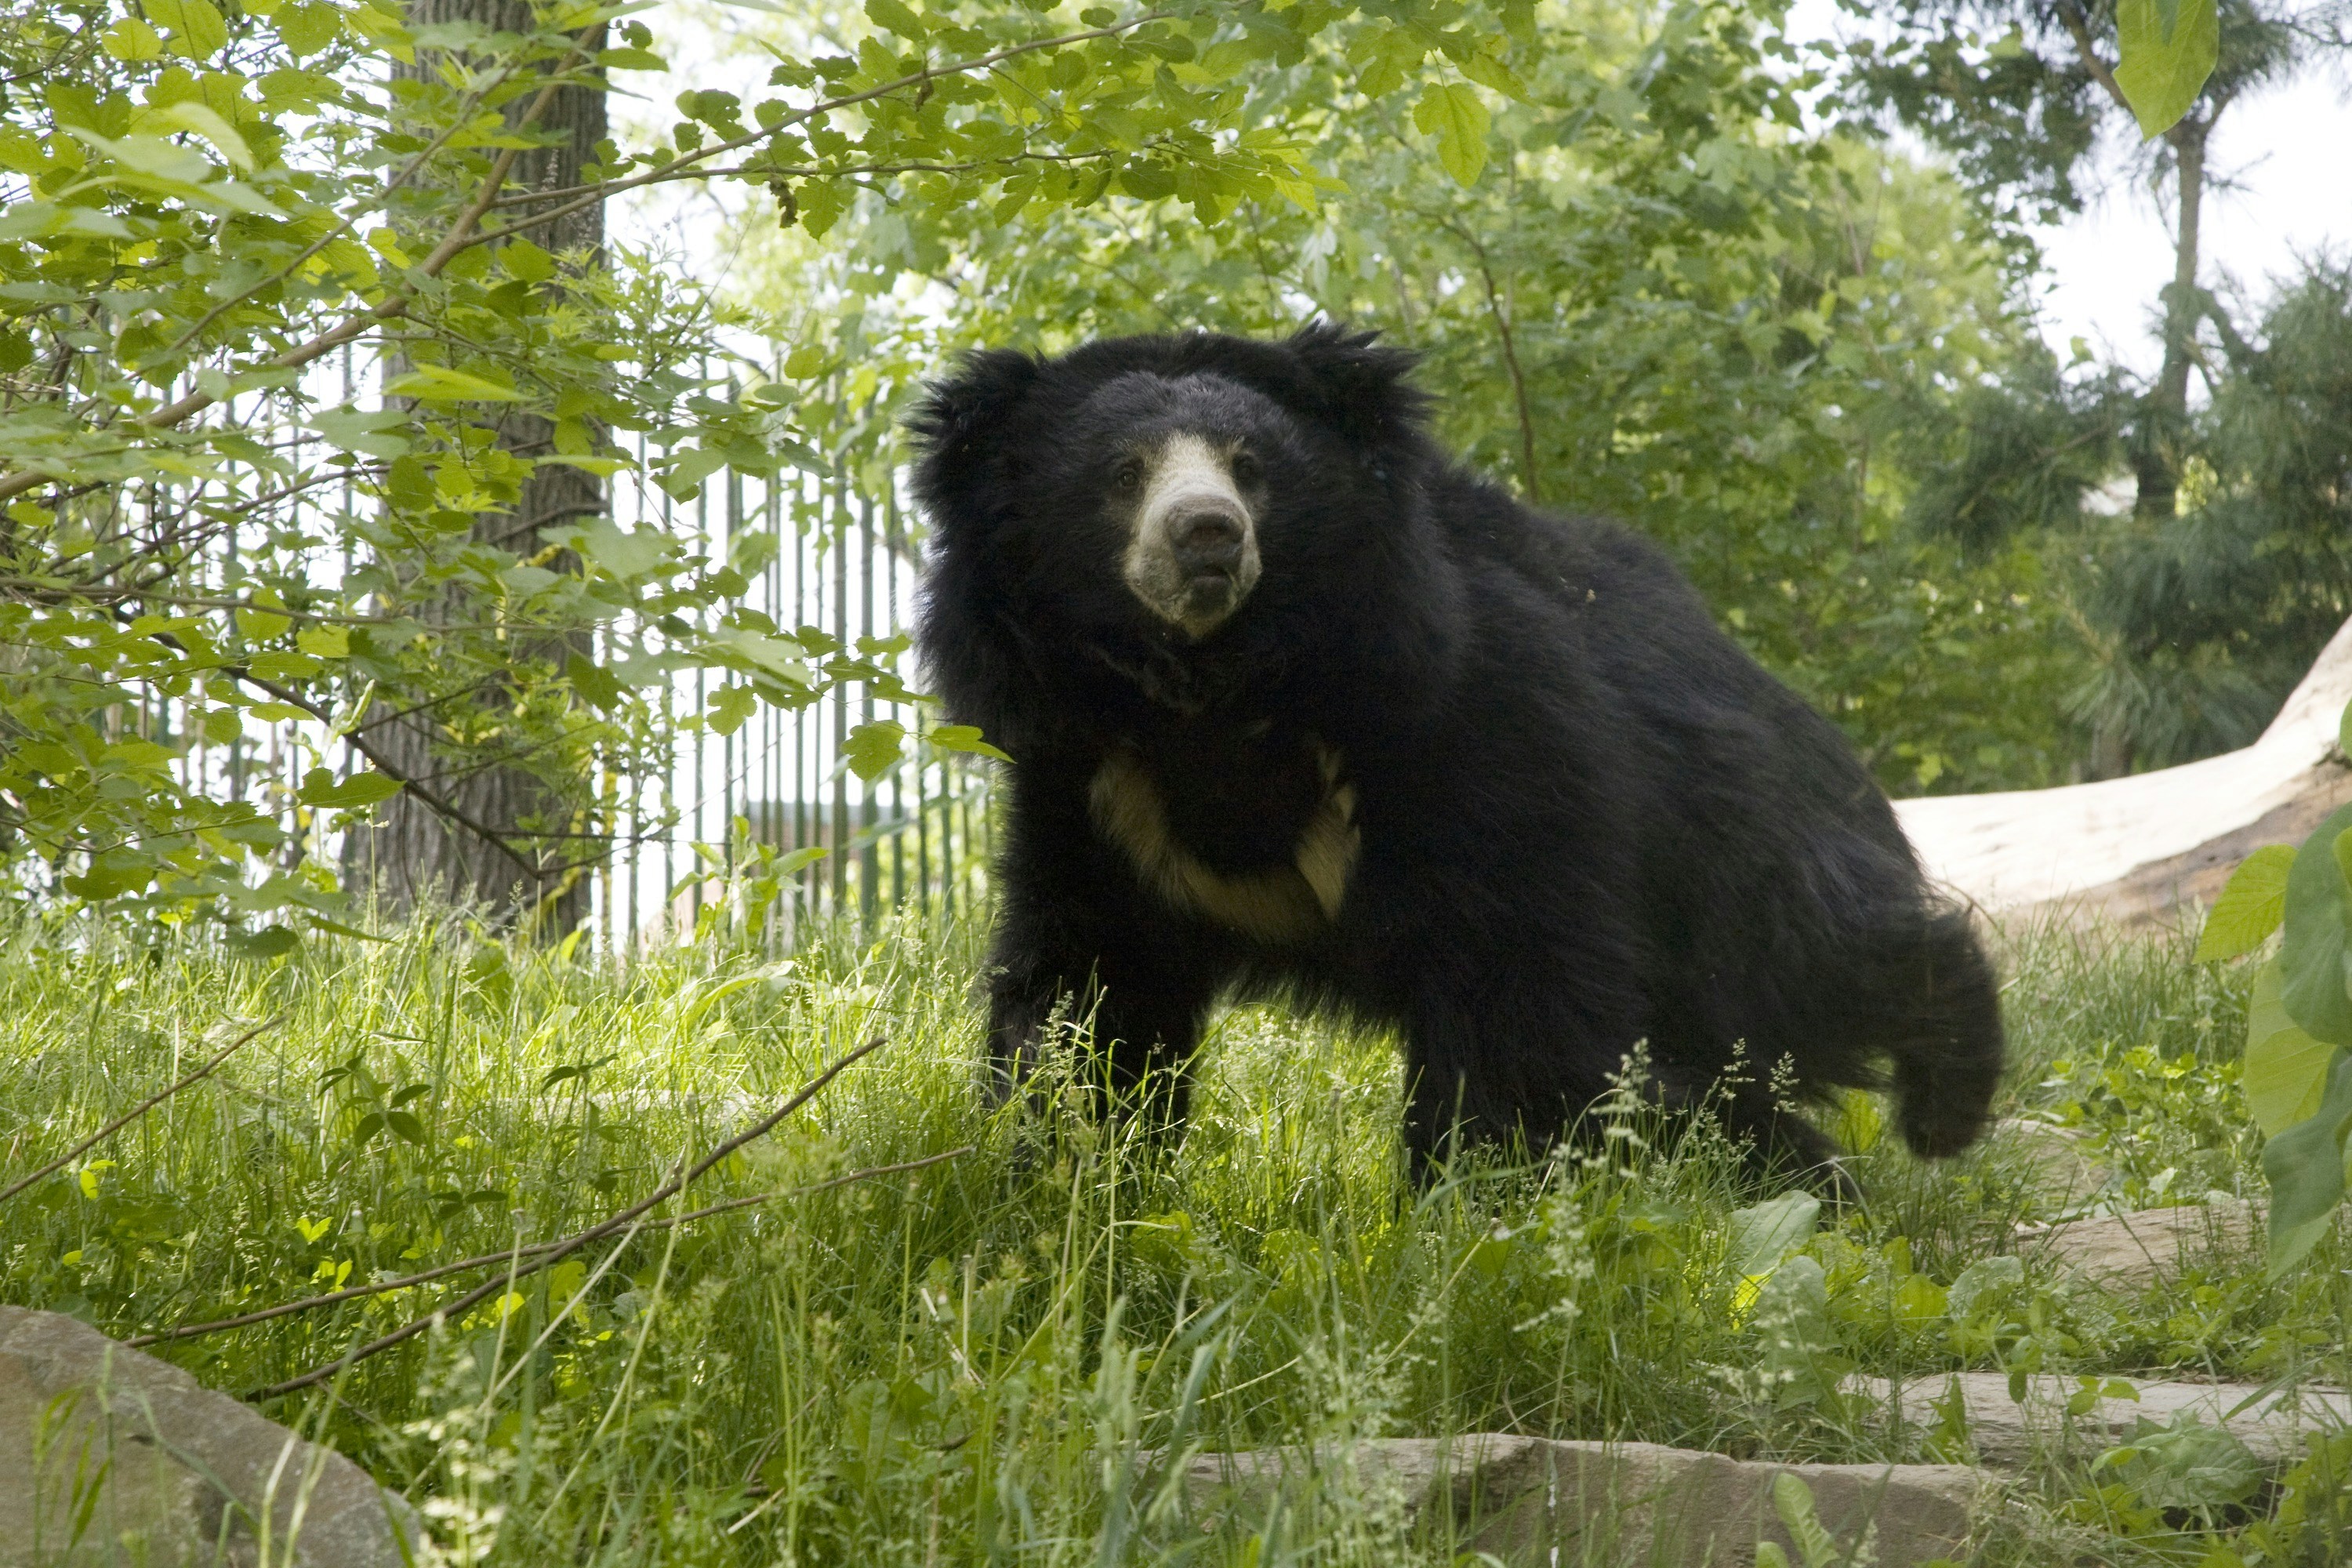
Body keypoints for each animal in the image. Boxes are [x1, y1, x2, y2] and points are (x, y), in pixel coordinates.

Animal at [909, 322, 2004, 1185]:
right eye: (1122, 473)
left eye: (1251, 464)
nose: (1207, 536)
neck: (1218, 694)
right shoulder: (1092, 777)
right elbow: (1091, 991)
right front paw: (1068, 1169)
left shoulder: (1478, 720)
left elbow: (1516, 987)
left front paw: (1472, 1204)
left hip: (1722, 831)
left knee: (1802, 961)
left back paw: (1935, 1099)